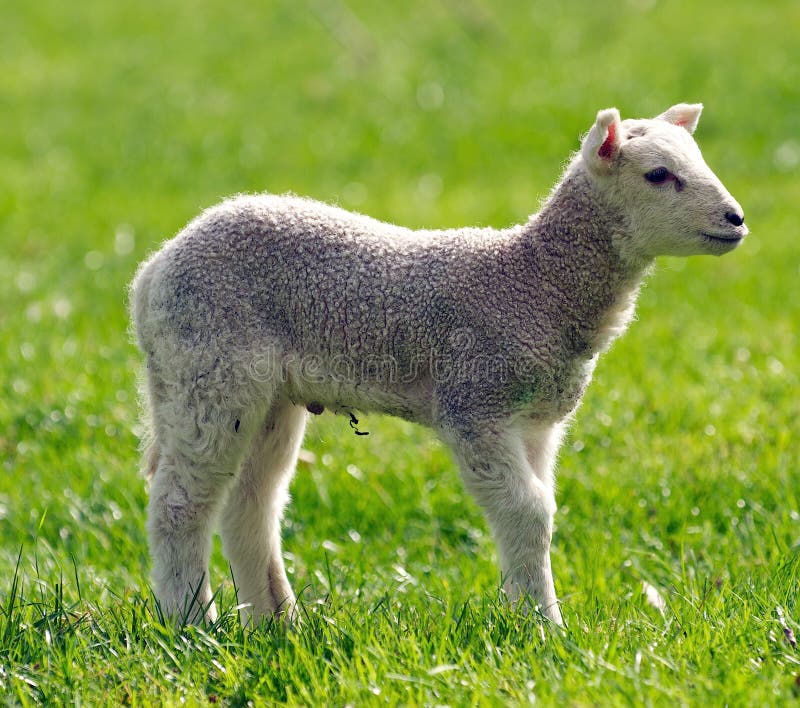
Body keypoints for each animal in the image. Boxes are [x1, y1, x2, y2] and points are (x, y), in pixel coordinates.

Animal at [130, 103, 747, 627]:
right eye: (658, 175)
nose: (736, 218)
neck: (536, 283)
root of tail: (151, 271)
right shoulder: (475, 402)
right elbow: (528, 512)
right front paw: (544, 628)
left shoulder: (537, 422)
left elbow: (541, 511)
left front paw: (528, 614)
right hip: (208, 365)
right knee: (180, 502)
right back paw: (193, 624)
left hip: (269, 395)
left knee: (250, 506)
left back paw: (278, 624)